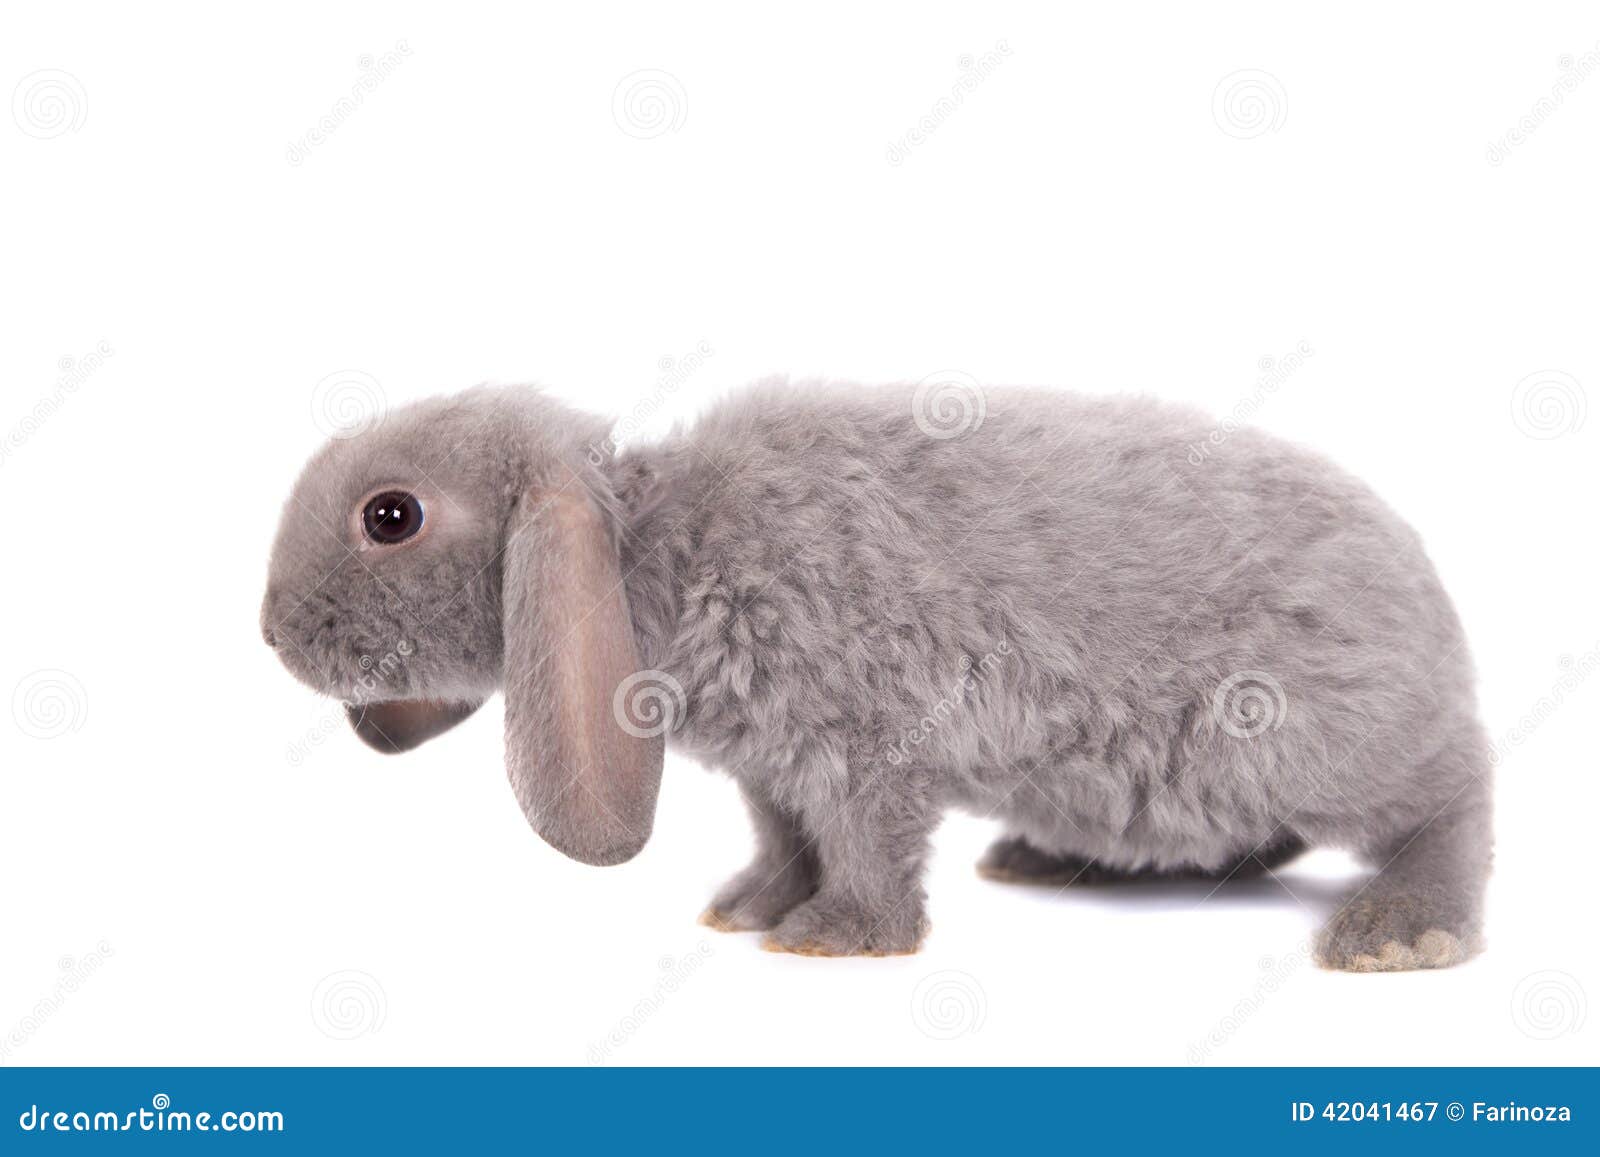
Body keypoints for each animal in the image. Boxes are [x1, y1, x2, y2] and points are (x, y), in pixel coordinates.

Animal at [261, 379, 1492, 971]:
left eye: (392, 515)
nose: (271, 632)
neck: (662, 541)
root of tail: (1430, 598)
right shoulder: (770, 767)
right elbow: (783, 835)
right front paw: (750, 908)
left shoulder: (864, 744)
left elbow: (862, 839)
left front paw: (836, 936)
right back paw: (1051, 859)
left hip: (1312, 743)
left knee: (1452, 799)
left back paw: (1403, 930)